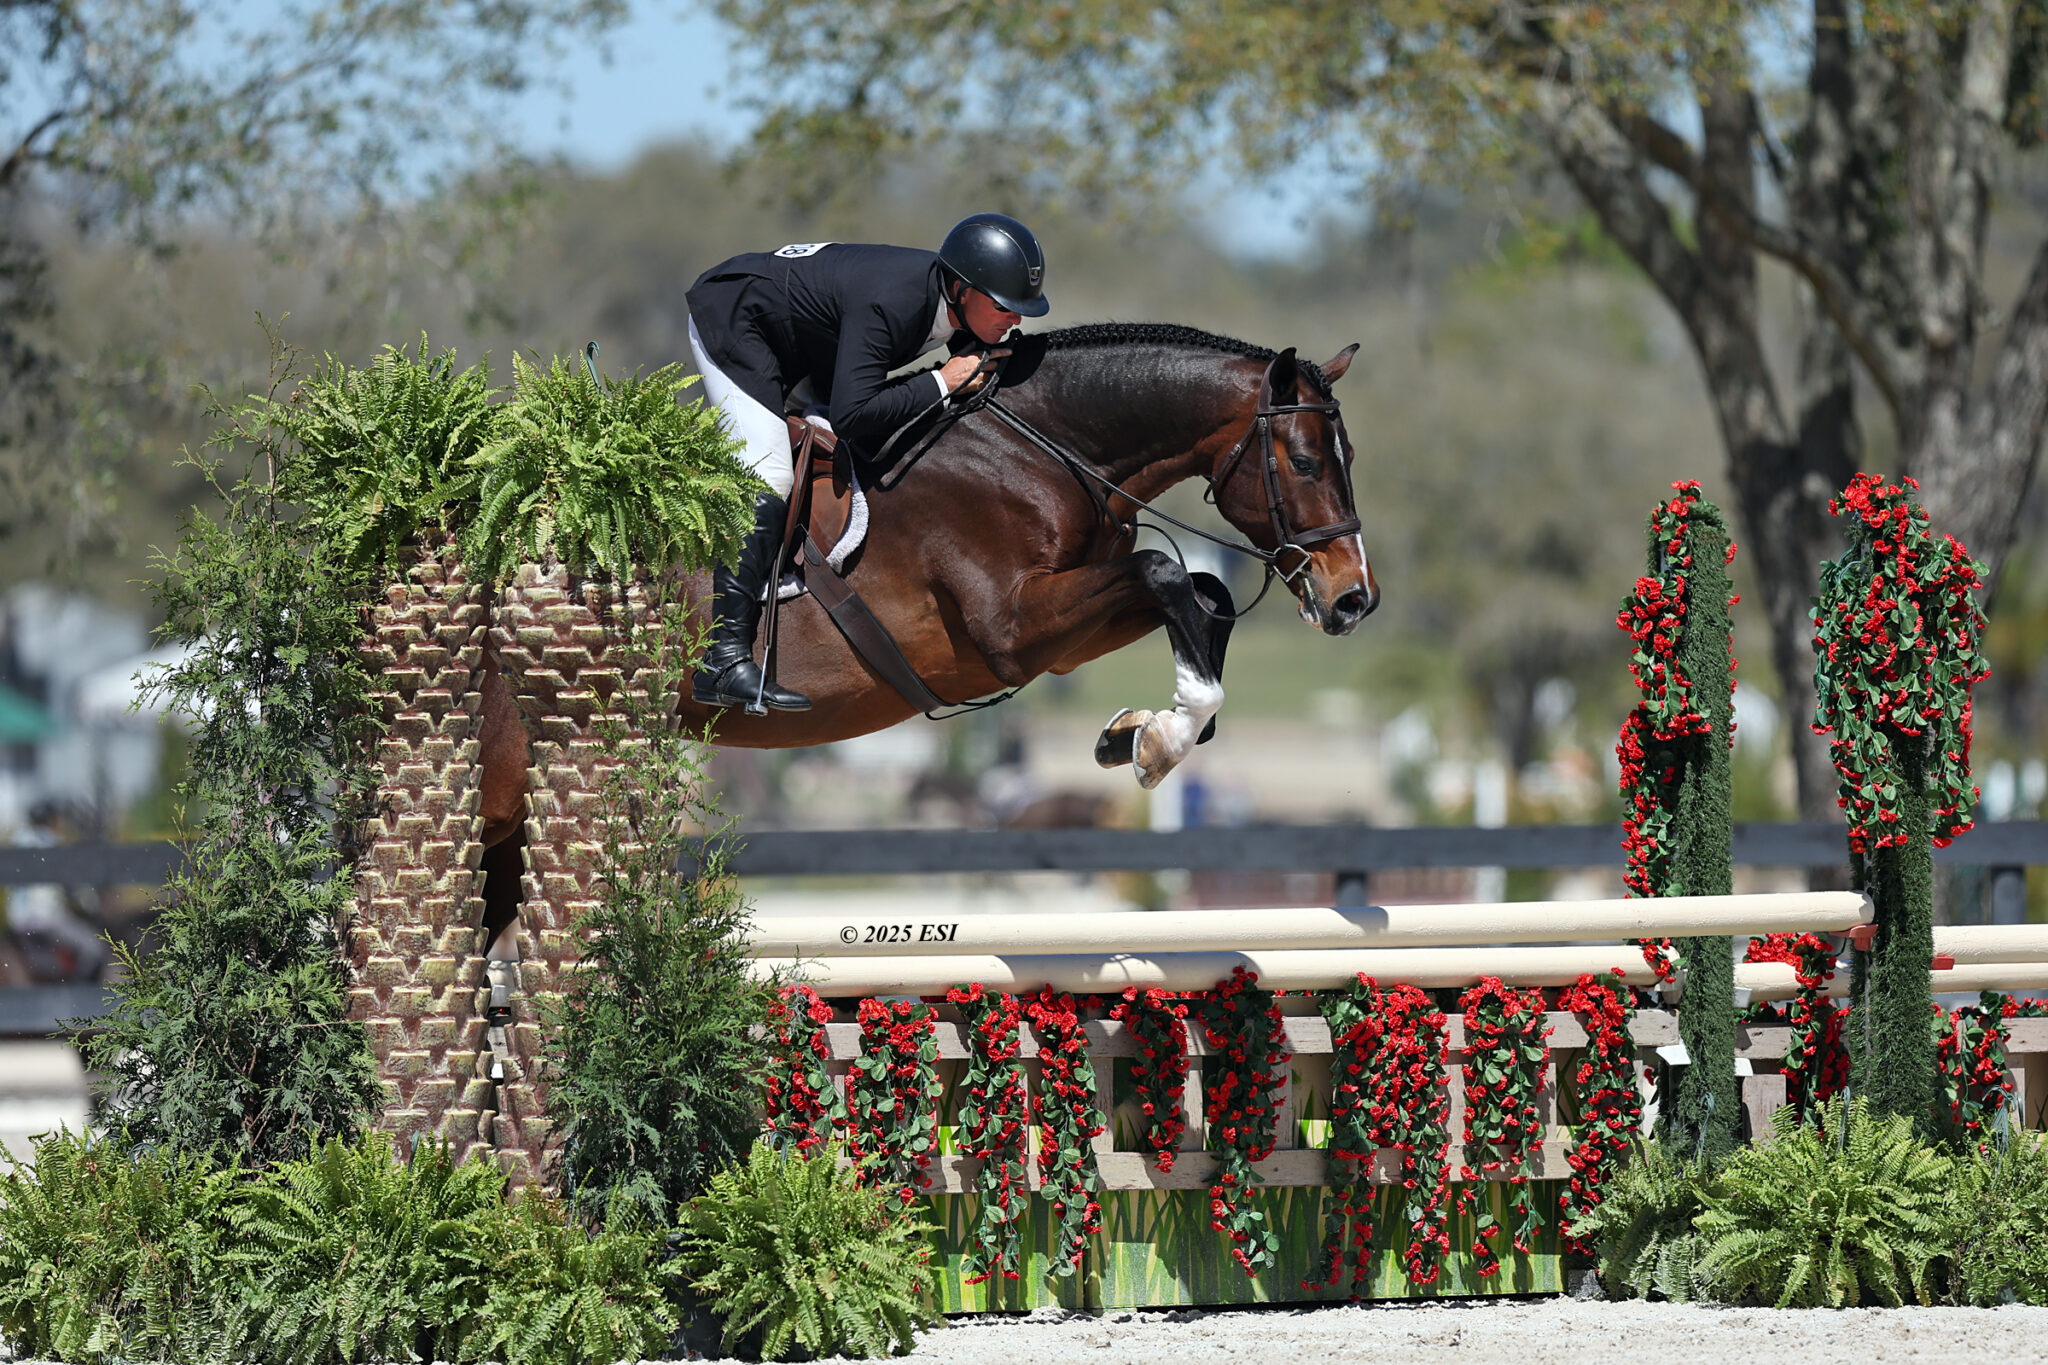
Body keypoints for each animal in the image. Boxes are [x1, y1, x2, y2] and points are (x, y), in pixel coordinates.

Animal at [469, 323, 1378, 938]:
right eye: (1304, 462)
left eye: (1348, 457)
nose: (1353, 600)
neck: (1038, 448)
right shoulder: (1012, 629)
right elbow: (1164, 574)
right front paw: (1158, 742)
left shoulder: (1060, 637)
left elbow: (1200, 594)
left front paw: (1134, 731)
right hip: (500, 783)